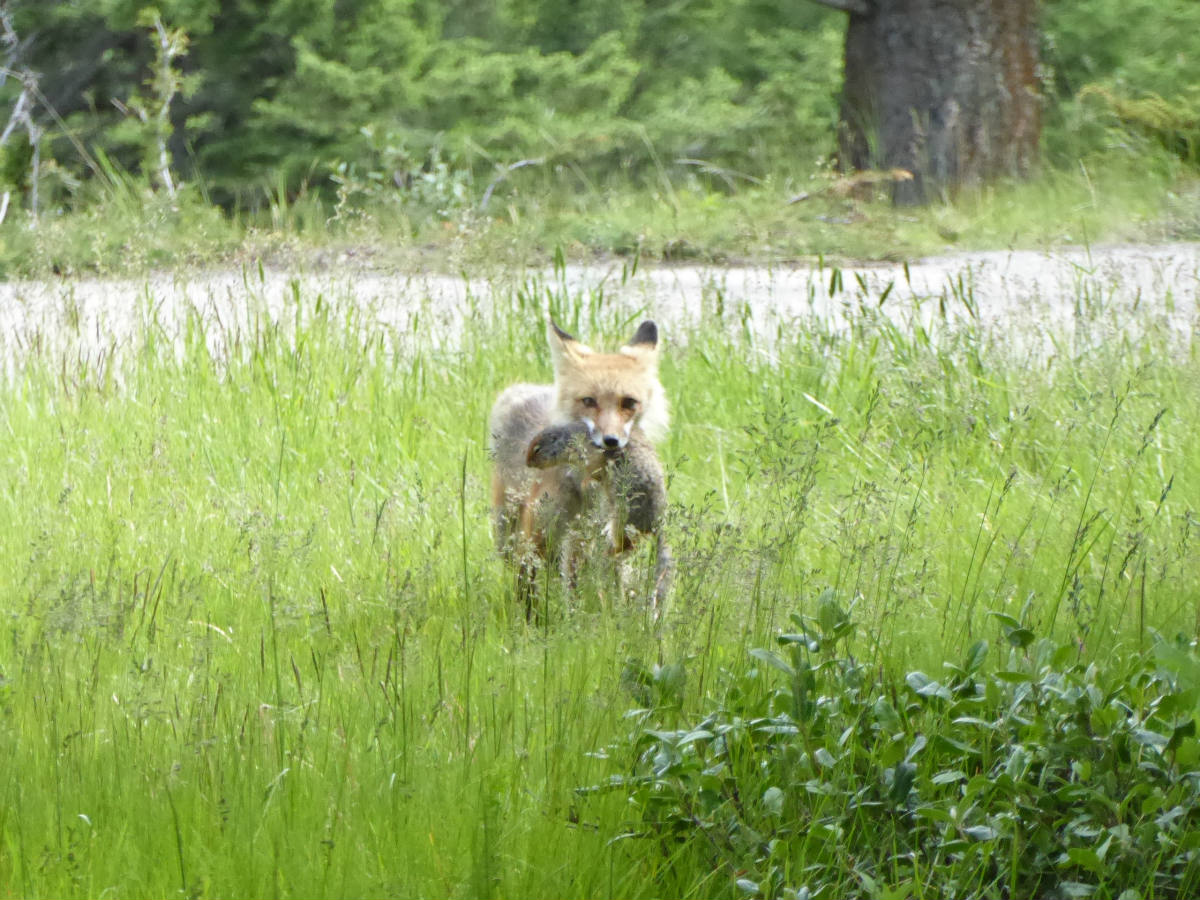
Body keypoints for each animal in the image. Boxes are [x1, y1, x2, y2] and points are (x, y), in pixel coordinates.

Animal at [489, 318, 672, 618]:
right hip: (509, 527)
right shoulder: (538, 535)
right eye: (589, 401)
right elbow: (534, 592)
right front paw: (533, 624)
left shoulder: (597, 539)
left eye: (628, 402)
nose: (611, 441)